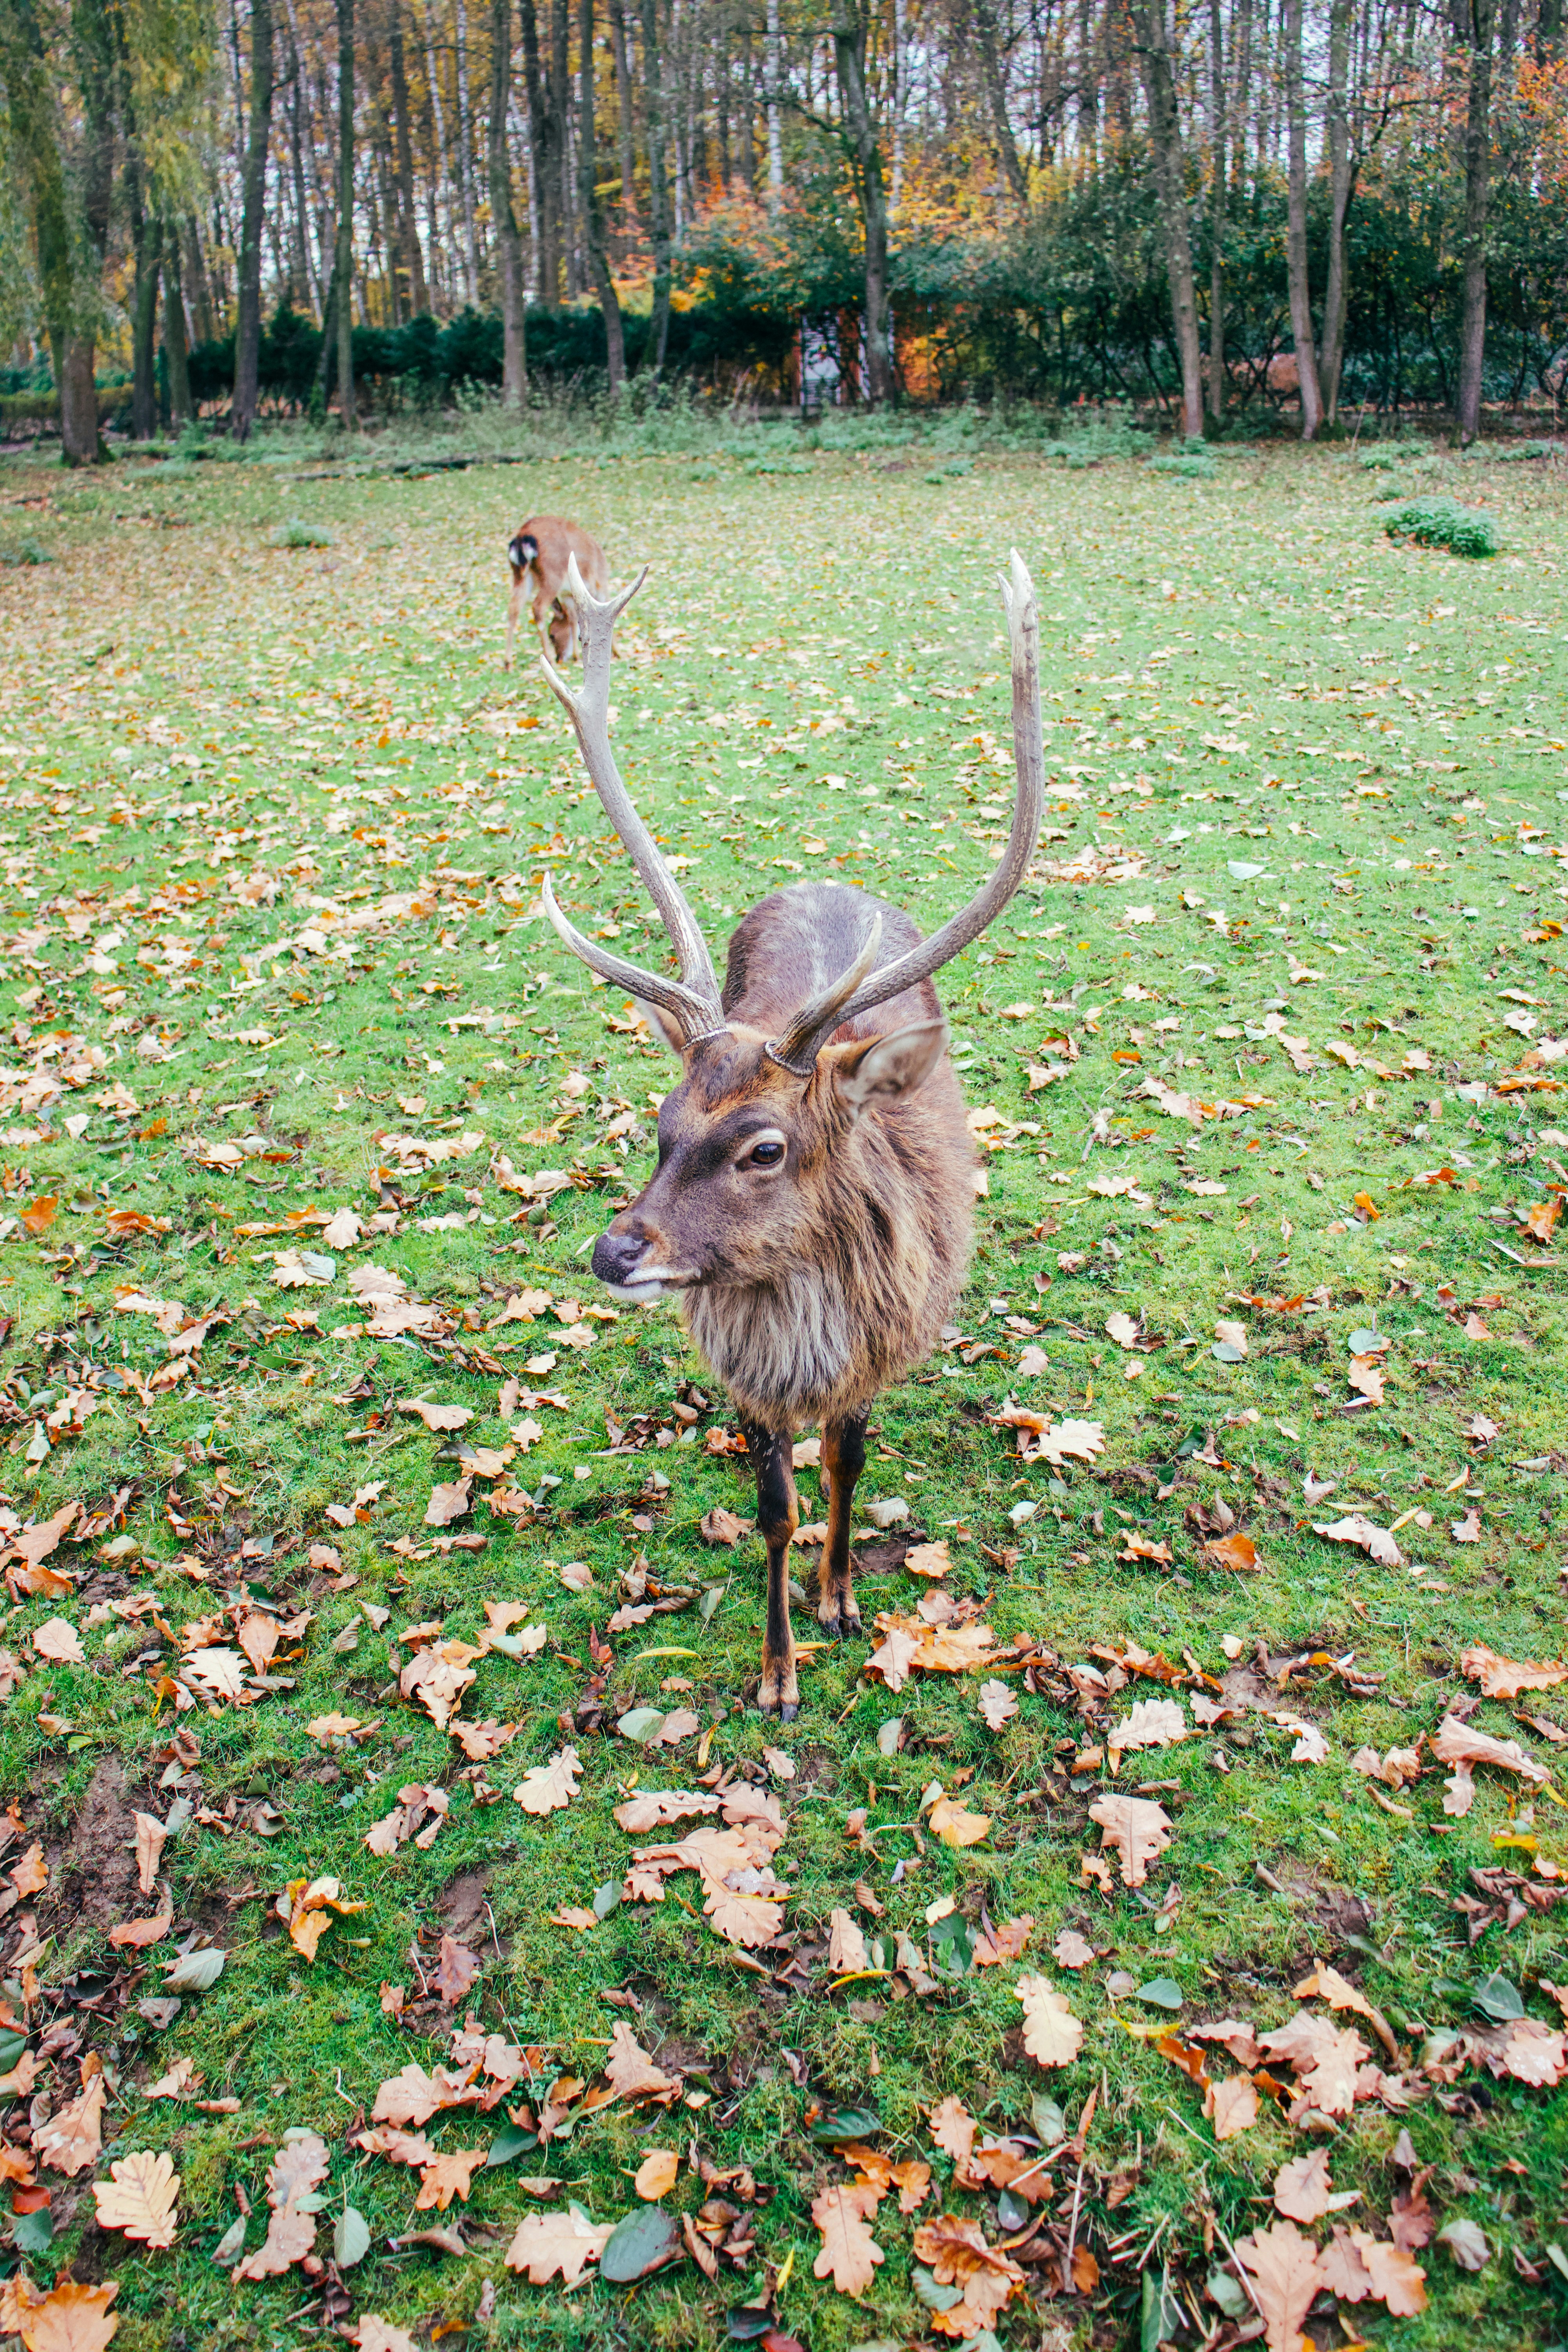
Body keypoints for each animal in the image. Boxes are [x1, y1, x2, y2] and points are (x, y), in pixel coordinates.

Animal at [506, 516, 611, 667]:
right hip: (552, 576)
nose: (559, 658)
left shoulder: (568, 594)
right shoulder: (593, 587)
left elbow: (573, 618)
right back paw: (548, 658)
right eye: (552, 636)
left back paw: (507, 662)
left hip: (520, 576)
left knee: (514, 606)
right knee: (538, 606)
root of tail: (521, 537)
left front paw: (576, 655)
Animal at [535, 552, 1044, 1717]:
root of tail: (825, 876)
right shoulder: (746, 1377)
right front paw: (777, 1676)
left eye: (763, 1147)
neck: (806, 1344)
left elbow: (847, 1468)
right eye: (661, 1122)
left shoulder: (884, 1350)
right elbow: (771, 1510)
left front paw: (840, 1596)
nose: (614, 1251)